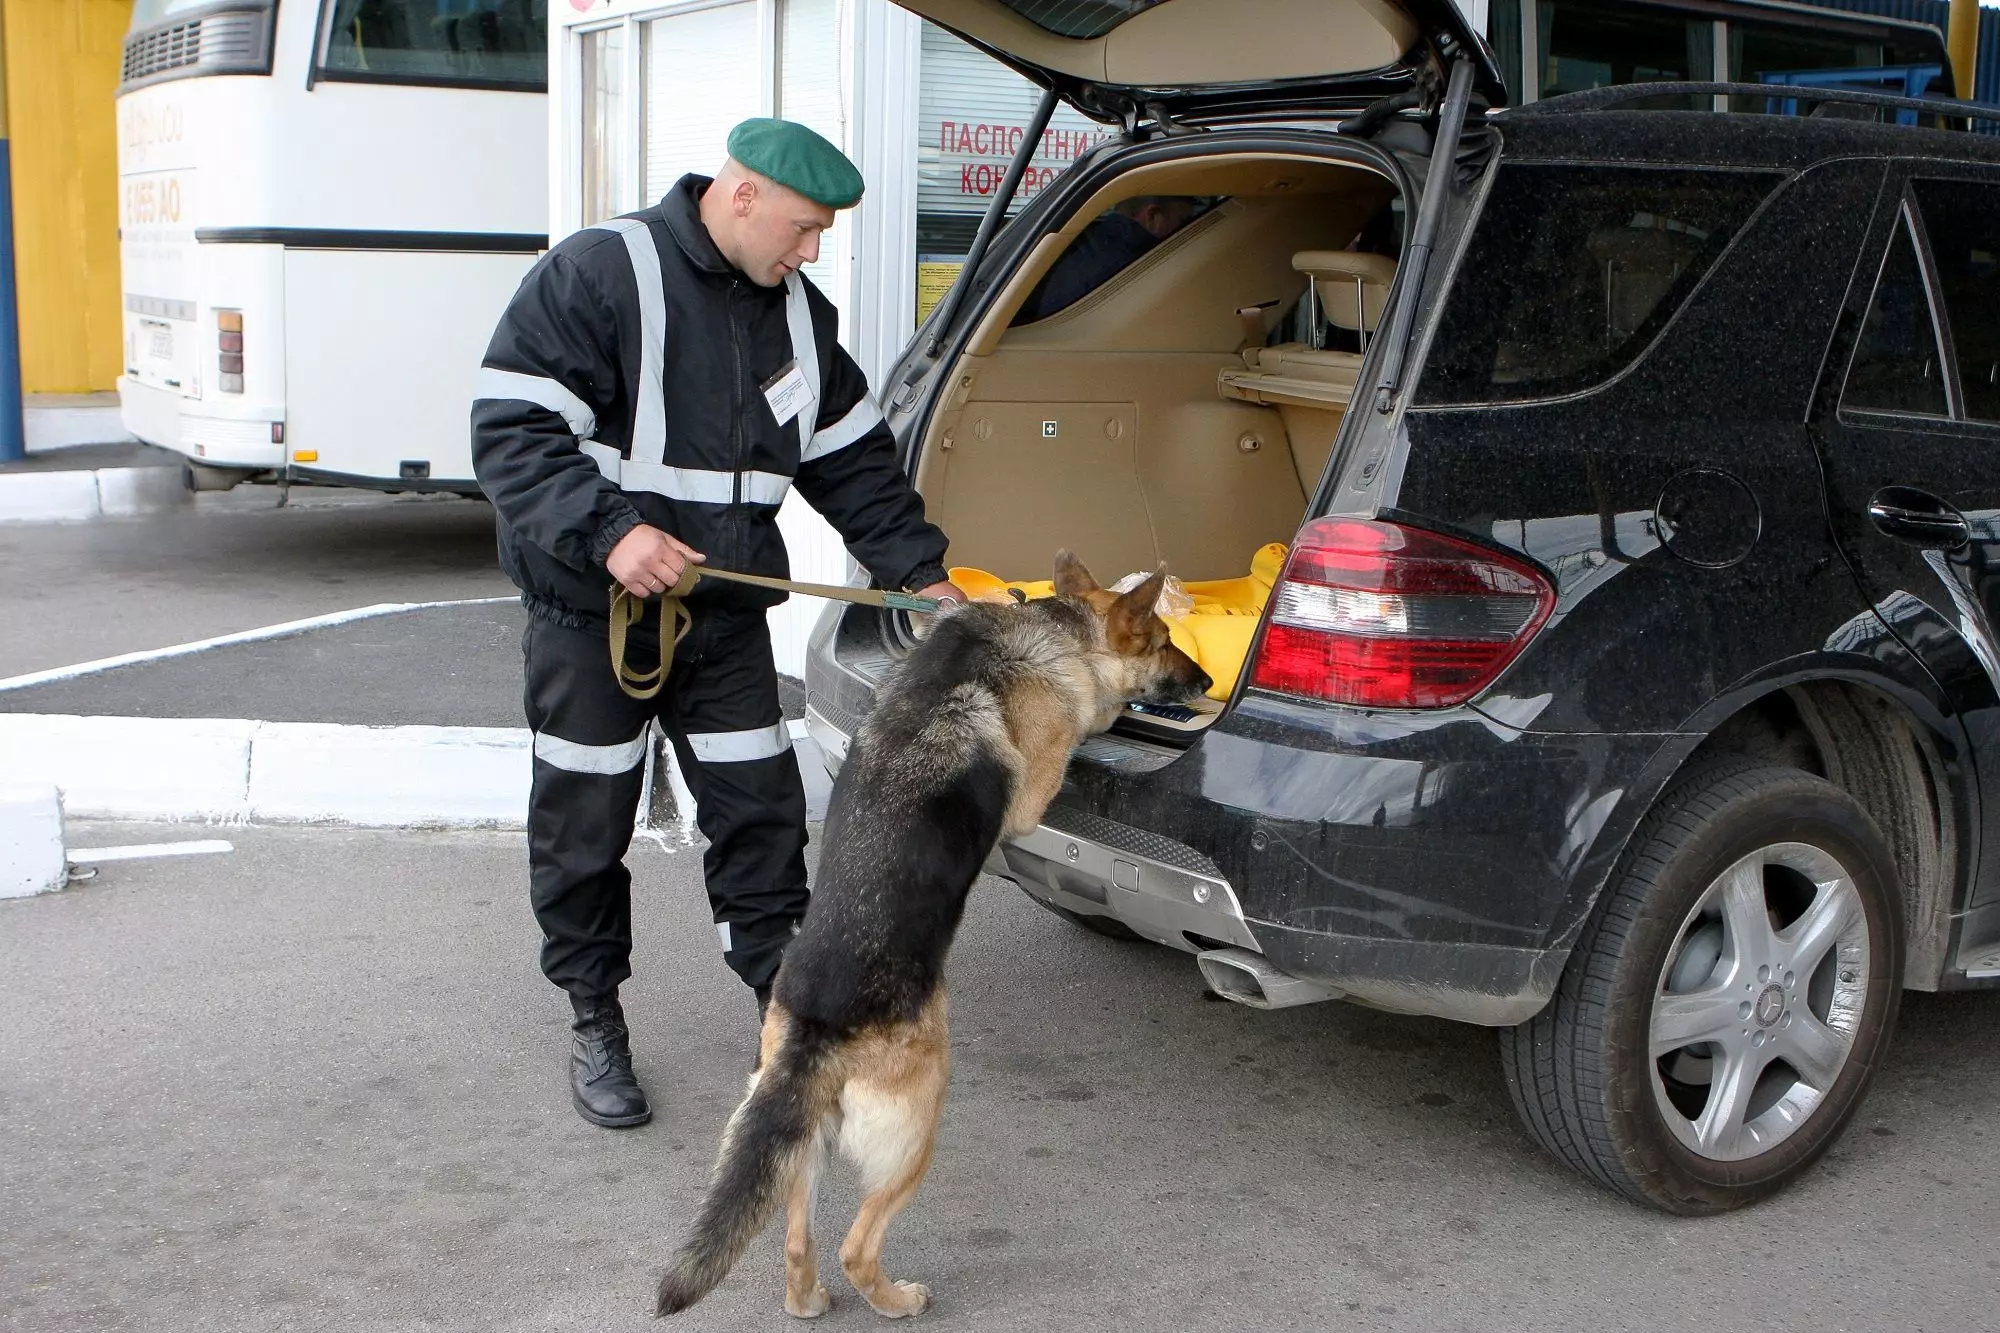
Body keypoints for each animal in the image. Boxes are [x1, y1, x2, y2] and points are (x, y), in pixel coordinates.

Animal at [664, 548, 1208, 1304]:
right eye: (1162, 642)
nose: (1208, 682)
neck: (1052, 631)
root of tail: (819, 1024)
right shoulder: (1031, 797)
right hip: (919, 1126)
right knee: (856, 1246)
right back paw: (899, 1300)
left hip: (803, 1141)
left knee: (798, 1242)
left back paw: (810, 1301)